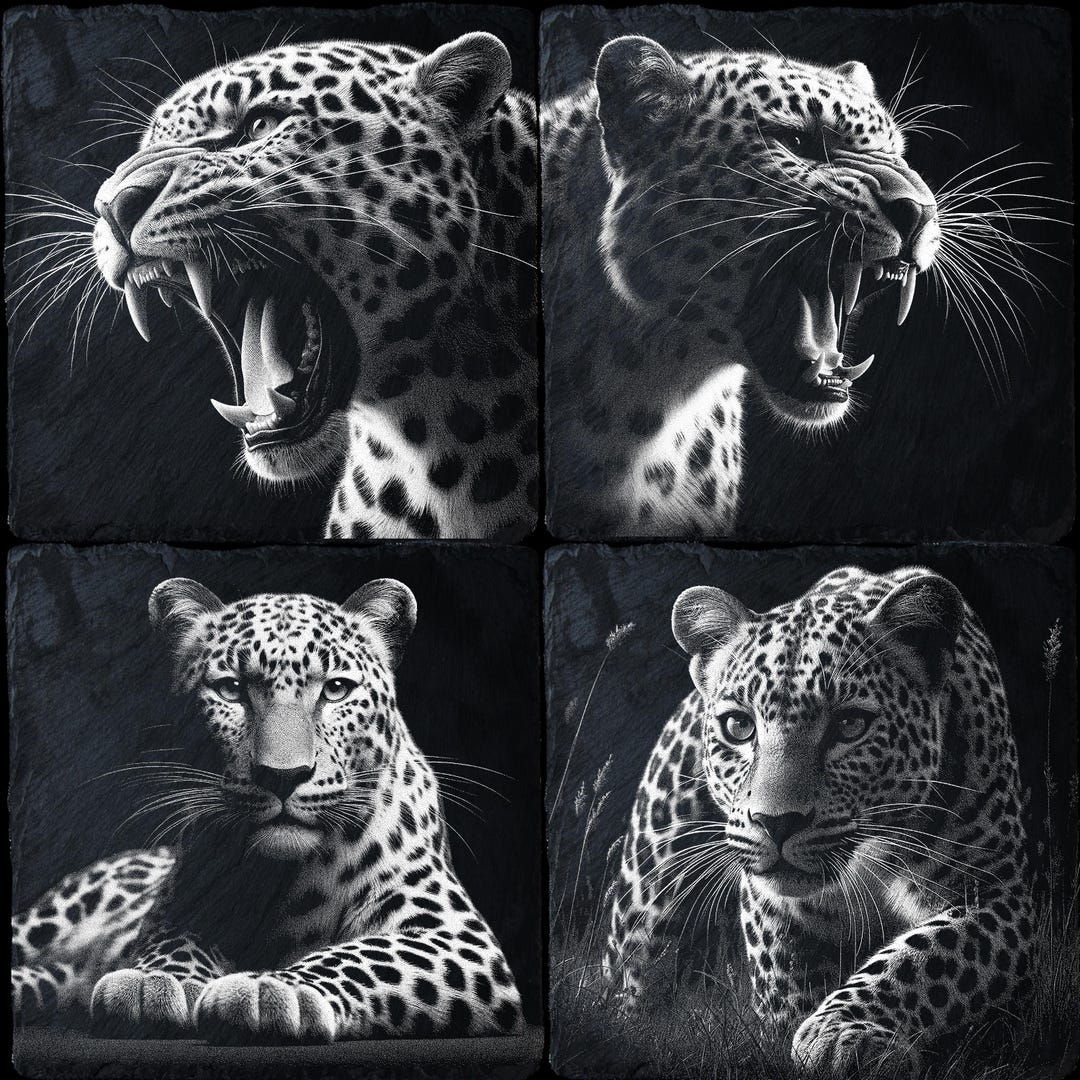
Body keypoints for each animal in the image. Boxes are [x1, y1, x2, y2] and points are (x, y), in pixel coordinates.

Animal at [12, 577, 524, 1042]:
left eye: (336, 689)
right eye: (231, 689)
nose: (282, 775)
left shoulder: (456, 937)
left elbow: (363, 956)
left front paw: (272, 989)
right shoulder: (176, 906)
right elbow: (174, 936)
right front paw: (156, 980)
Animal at [604, 565, 1033, 1076]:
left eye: (850, 726)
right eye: (738, 727)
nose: (776, 822)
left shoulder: (996, 892)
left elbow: (922, 957)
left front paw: (839, 1034)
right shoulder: (771, 907)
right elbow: (789, 986)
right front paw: (807, 1030)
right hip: (647, 897)